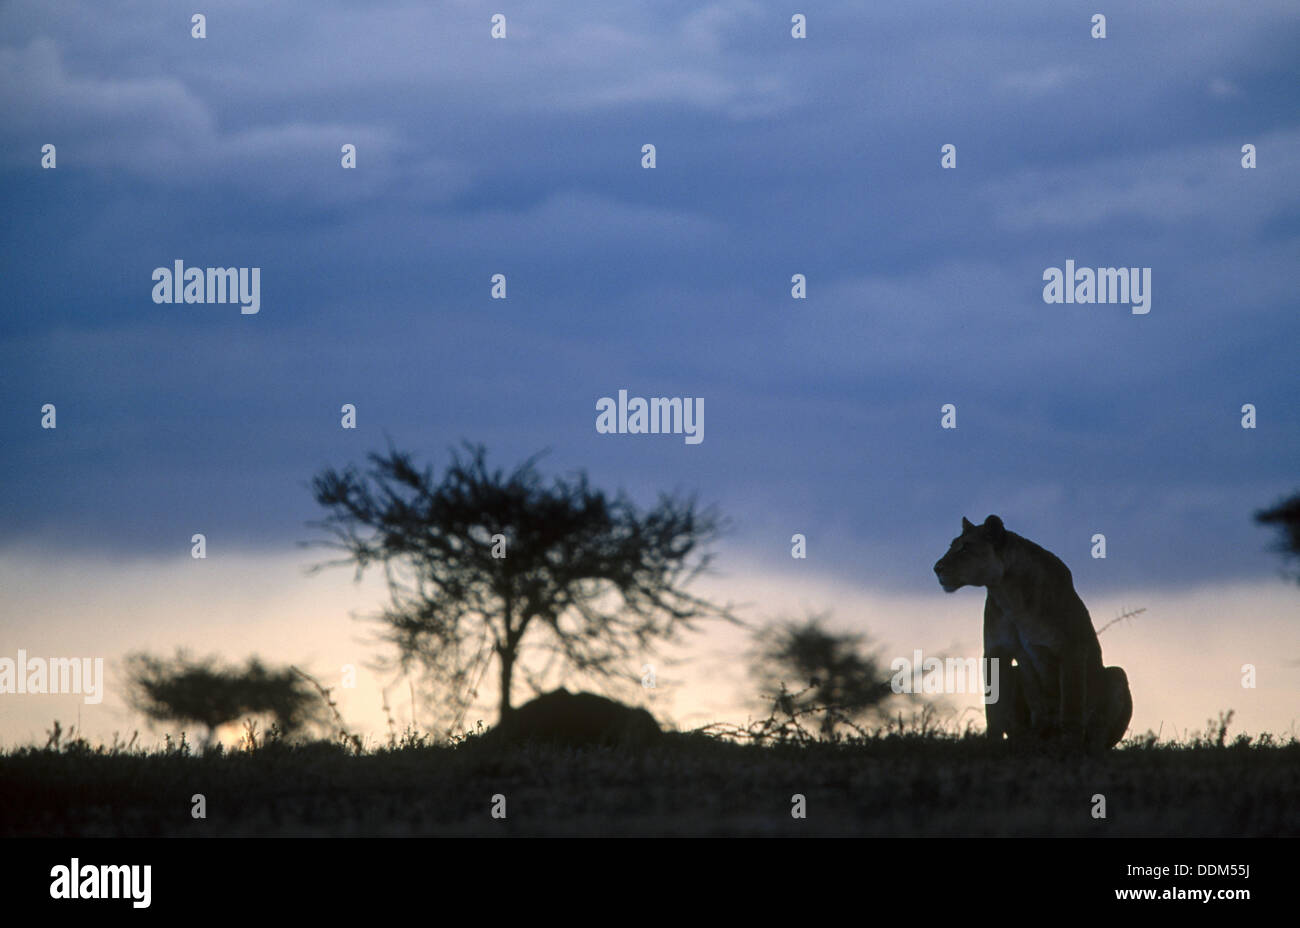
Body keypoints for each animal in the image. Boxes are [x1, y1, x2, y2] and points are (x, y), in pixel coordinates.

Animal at [933, 515, 1132, 751]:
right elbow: (993, 708)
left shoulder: (1072, 650)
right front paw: (992, 744)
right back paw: (1027, 740)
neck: (1008, 594)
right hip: (1016, 676)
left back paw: (1086, 746)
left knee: (1099, 733)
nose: (937, 568)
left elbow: (1071, 704)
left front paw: (1070, 746)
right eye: (952, 545)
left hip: (1117, 675)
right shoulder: (995, 652)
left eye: (965, 547)